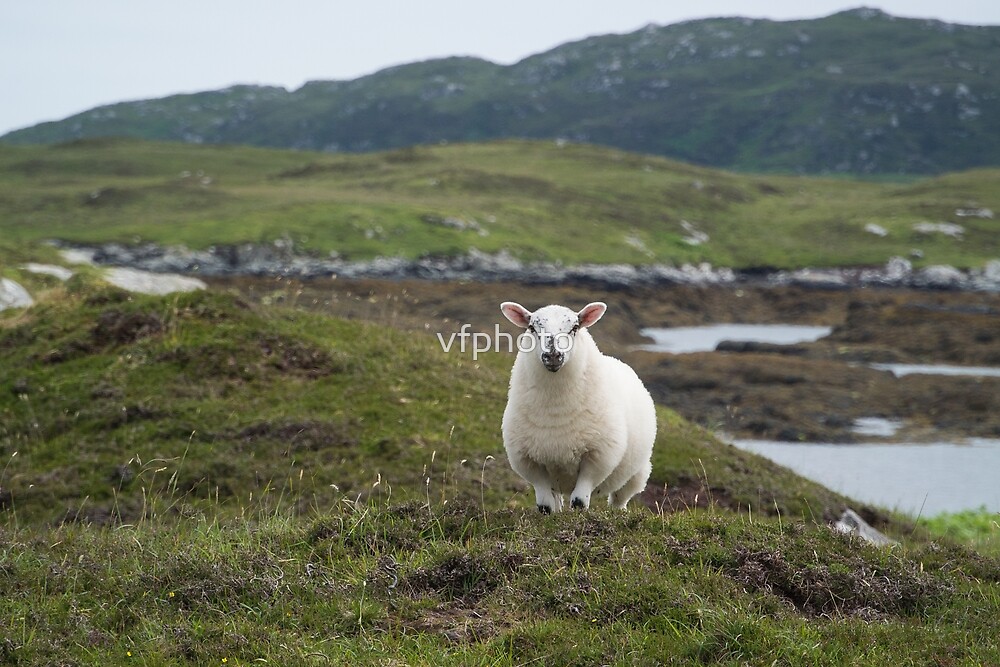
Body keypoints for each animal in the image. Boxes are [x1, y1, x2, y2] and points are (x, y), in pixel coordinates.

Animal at [500, 300, 657, 513]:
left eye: (574, 328)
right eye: (532, 327)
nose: (553, 356)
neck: (555, 408)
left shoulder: (597, 457)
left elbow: (579, 502)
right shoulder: (529, 462)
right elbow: (545, 506)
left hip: (636, 473)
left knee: (620, 498)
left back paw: (619, 512)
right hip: (554, 477)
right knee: (557, 499)